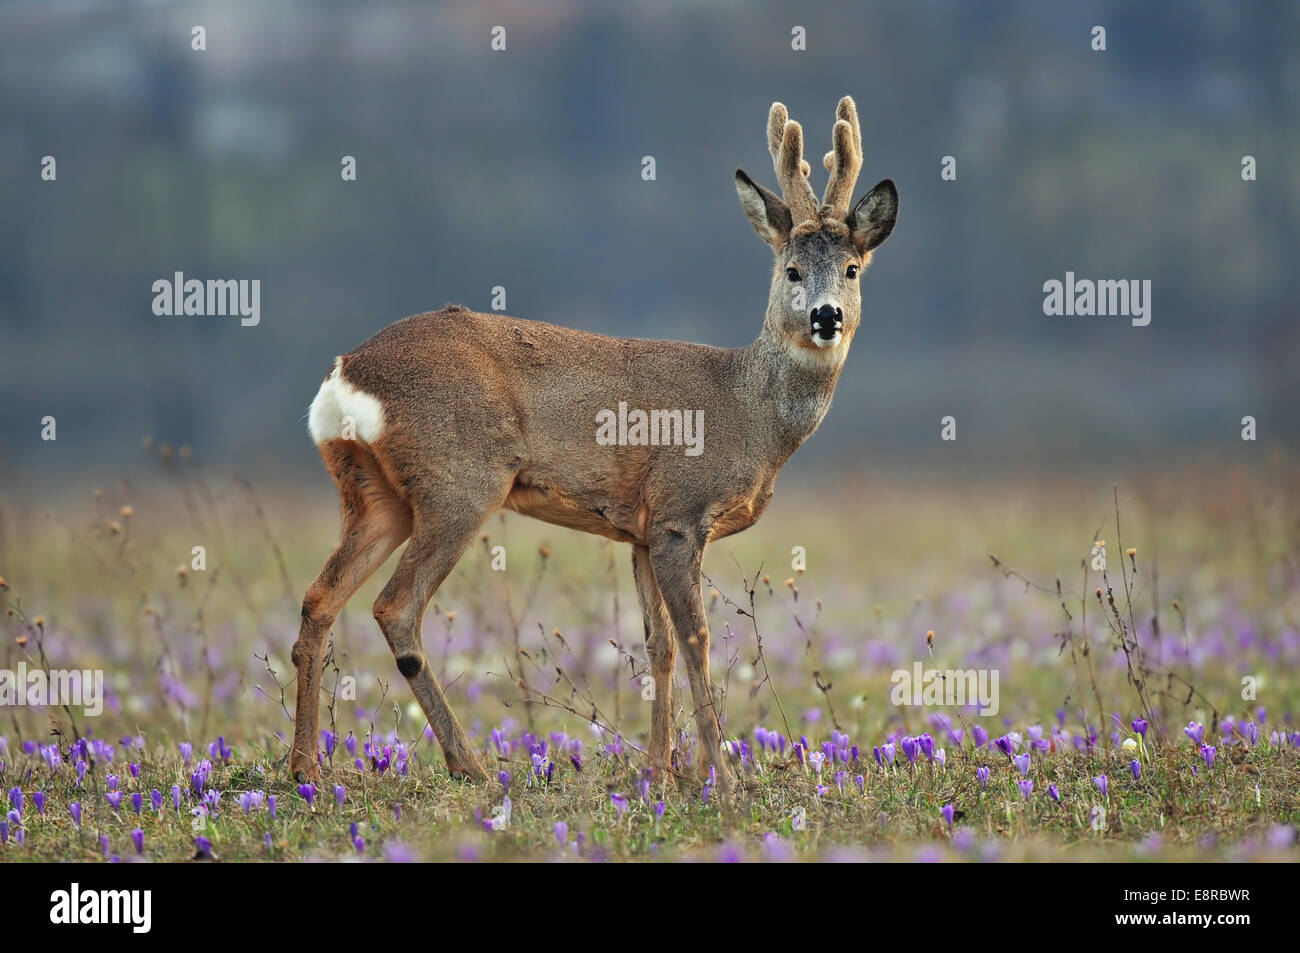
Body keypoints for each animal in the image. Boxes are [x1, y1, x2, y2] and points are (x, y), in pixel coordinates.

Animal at [289, 96, 898, 789]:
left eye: (852, 268)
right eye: (792, 269)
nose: (827, 316)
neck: (749, 412)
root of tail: (345, 374)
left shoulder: (640, 531)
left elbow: (658, 645)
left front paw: (660, 771)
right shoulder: (680, 513)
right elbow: (696, 641)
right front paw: (719, 775)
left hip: (374, 495)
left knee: (319, 598)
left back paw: (305, 767)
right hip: (459, 484)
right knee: (395, 607)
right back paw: (469, 764)